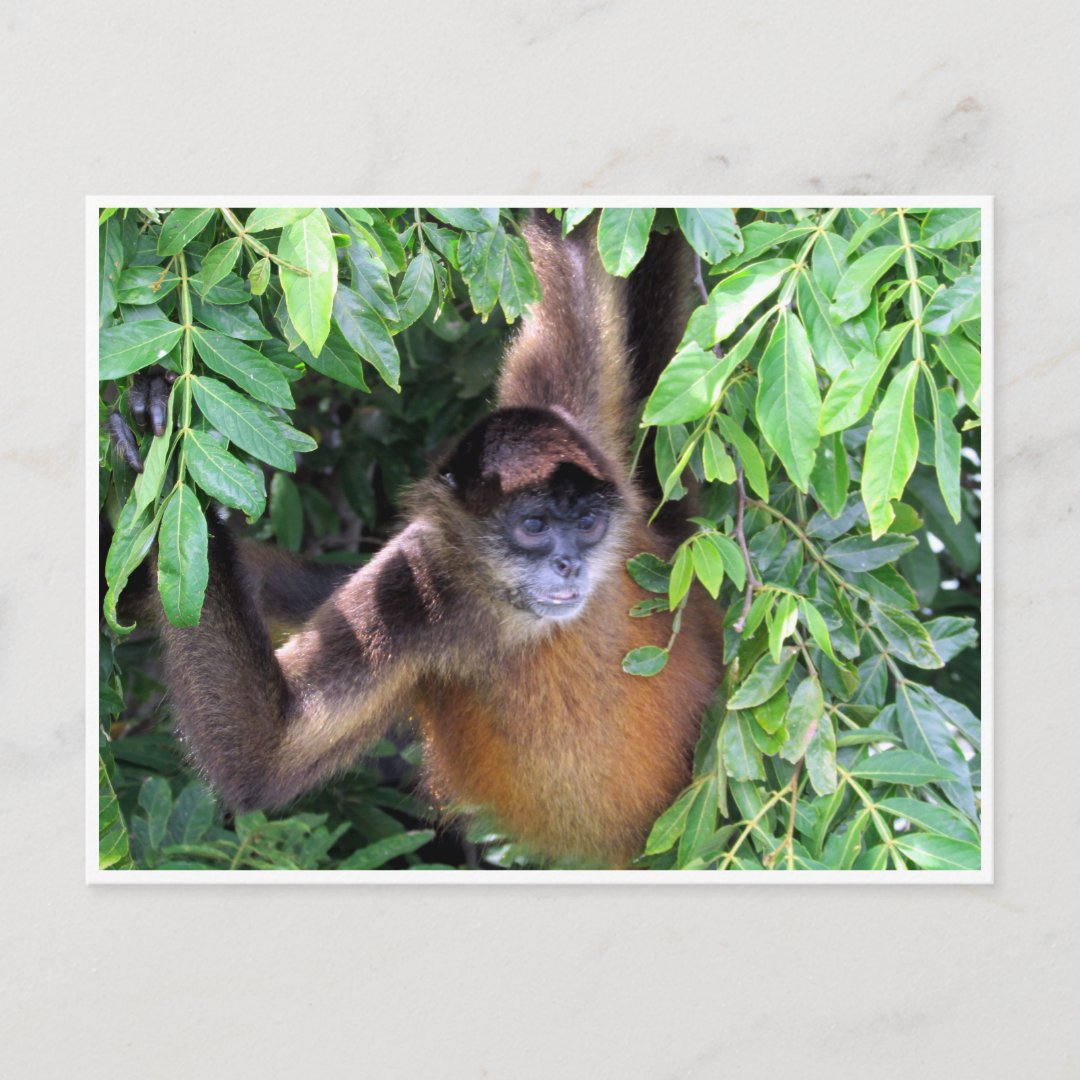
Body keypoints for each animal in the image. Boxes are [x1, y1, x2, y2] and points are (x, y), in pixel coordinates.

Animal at [145, 216, 725, 867]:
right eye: (533, 527)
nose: (570, 565)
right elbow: (261, 755)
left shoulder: (576, 427)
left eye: (587, 524)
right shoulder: (419, 586)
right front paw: (162, 473)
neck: (516, 615)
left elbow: (578, 258)